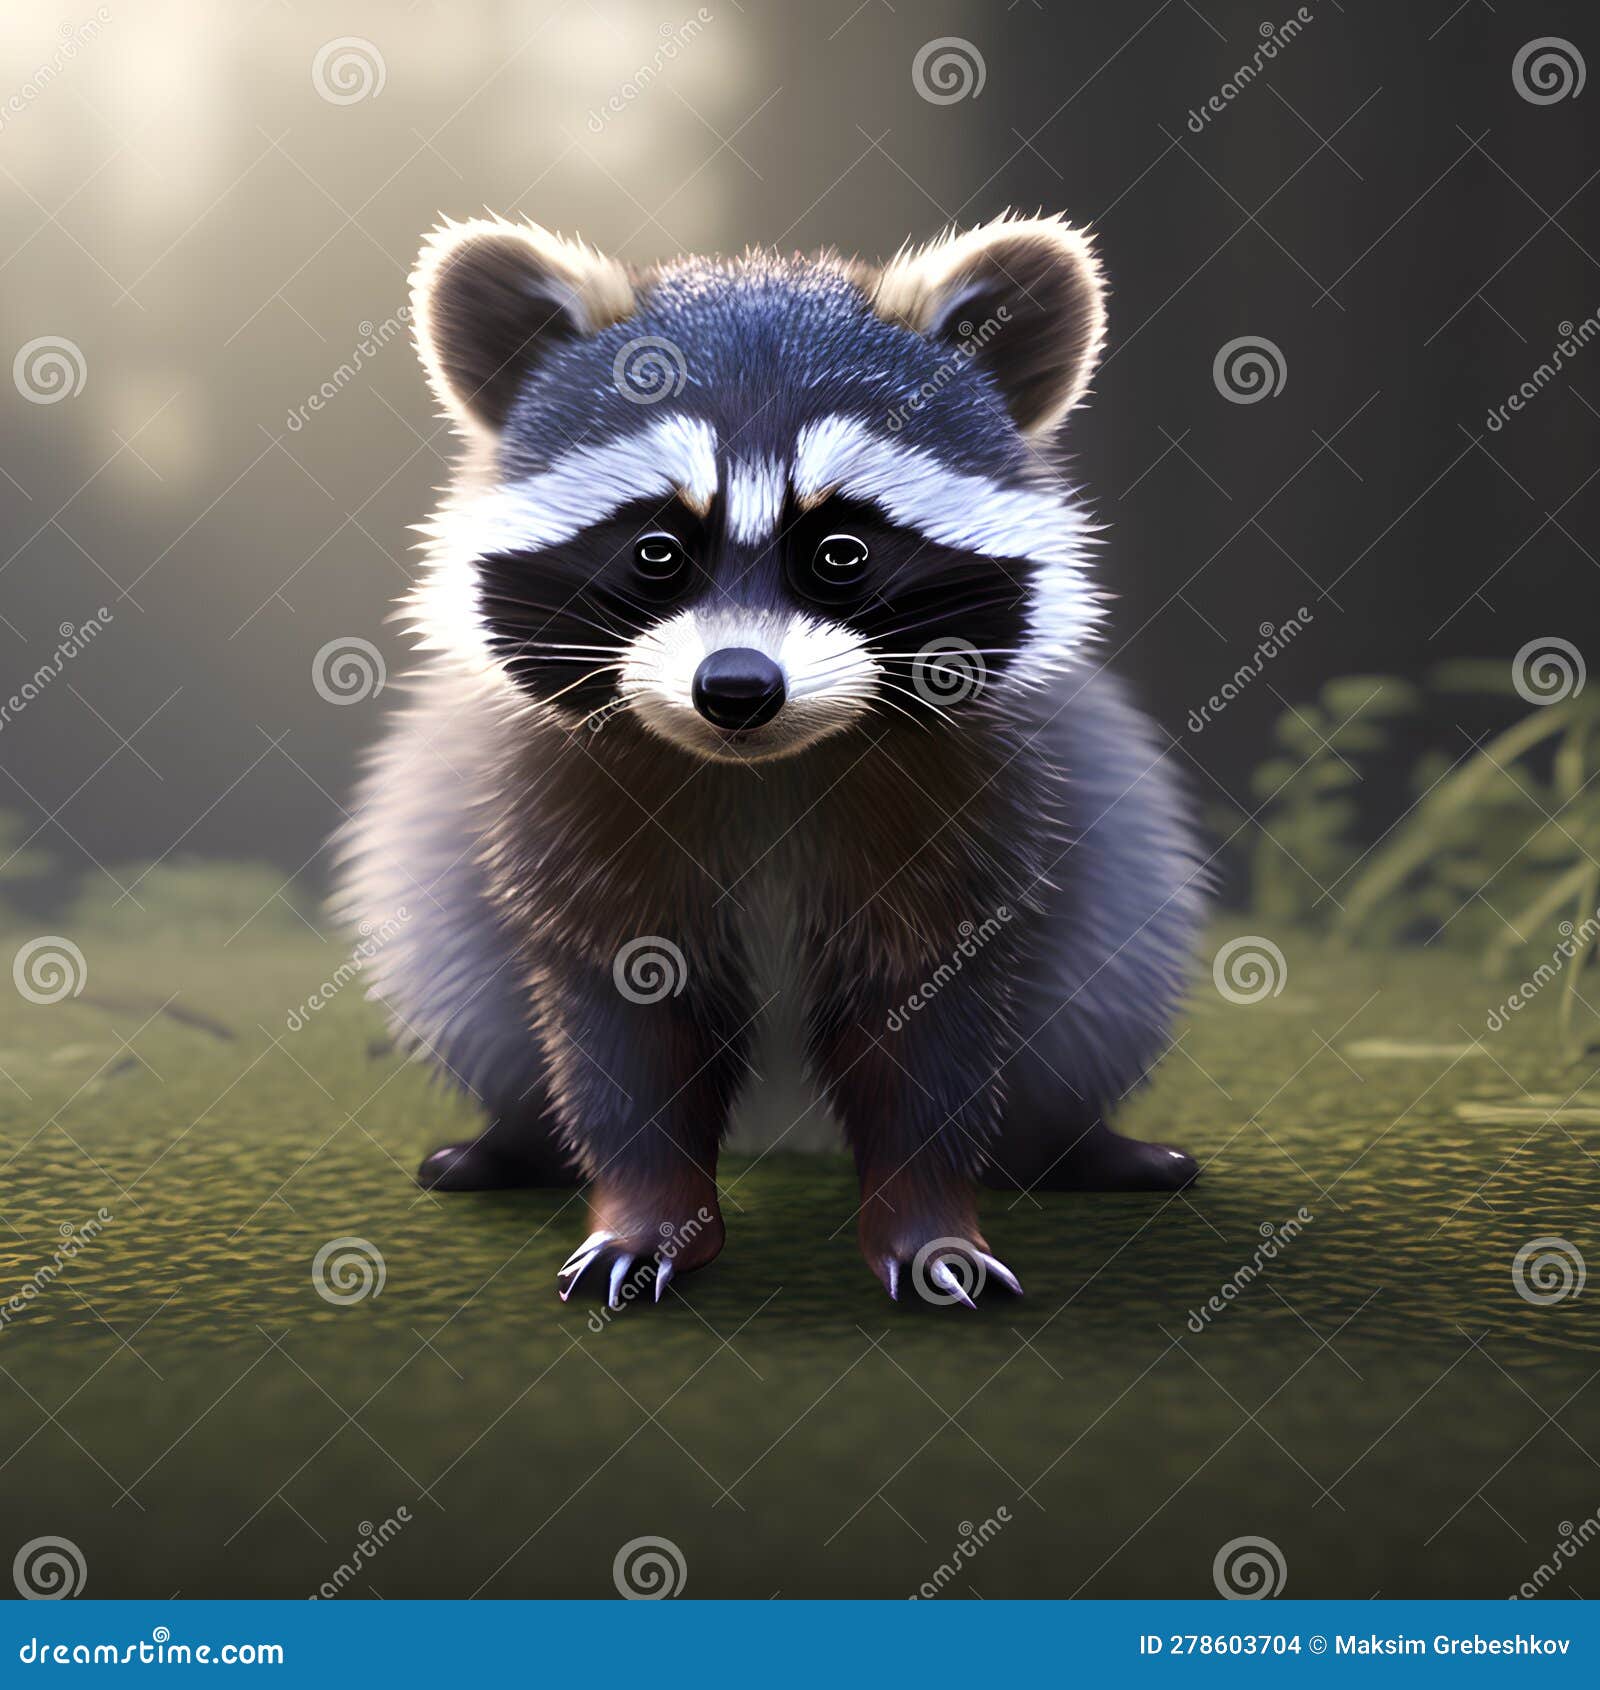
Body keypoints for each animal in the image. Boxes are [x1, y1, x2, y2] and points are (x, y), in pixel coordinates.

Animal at [334, 211, 1207, 1308]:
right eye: (657, 550)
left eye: (841, 551)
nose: (738, 689)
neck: (764, 767)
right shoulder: (565, 800)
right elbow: (625, 1017)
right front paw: (646, 1210)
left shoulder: (976, 797)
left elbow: (929, 1014)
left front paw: (928, 1218)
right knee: (460, 982)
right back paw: (514, 1140)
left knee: (1102, 989)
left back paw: (1073, 1145)